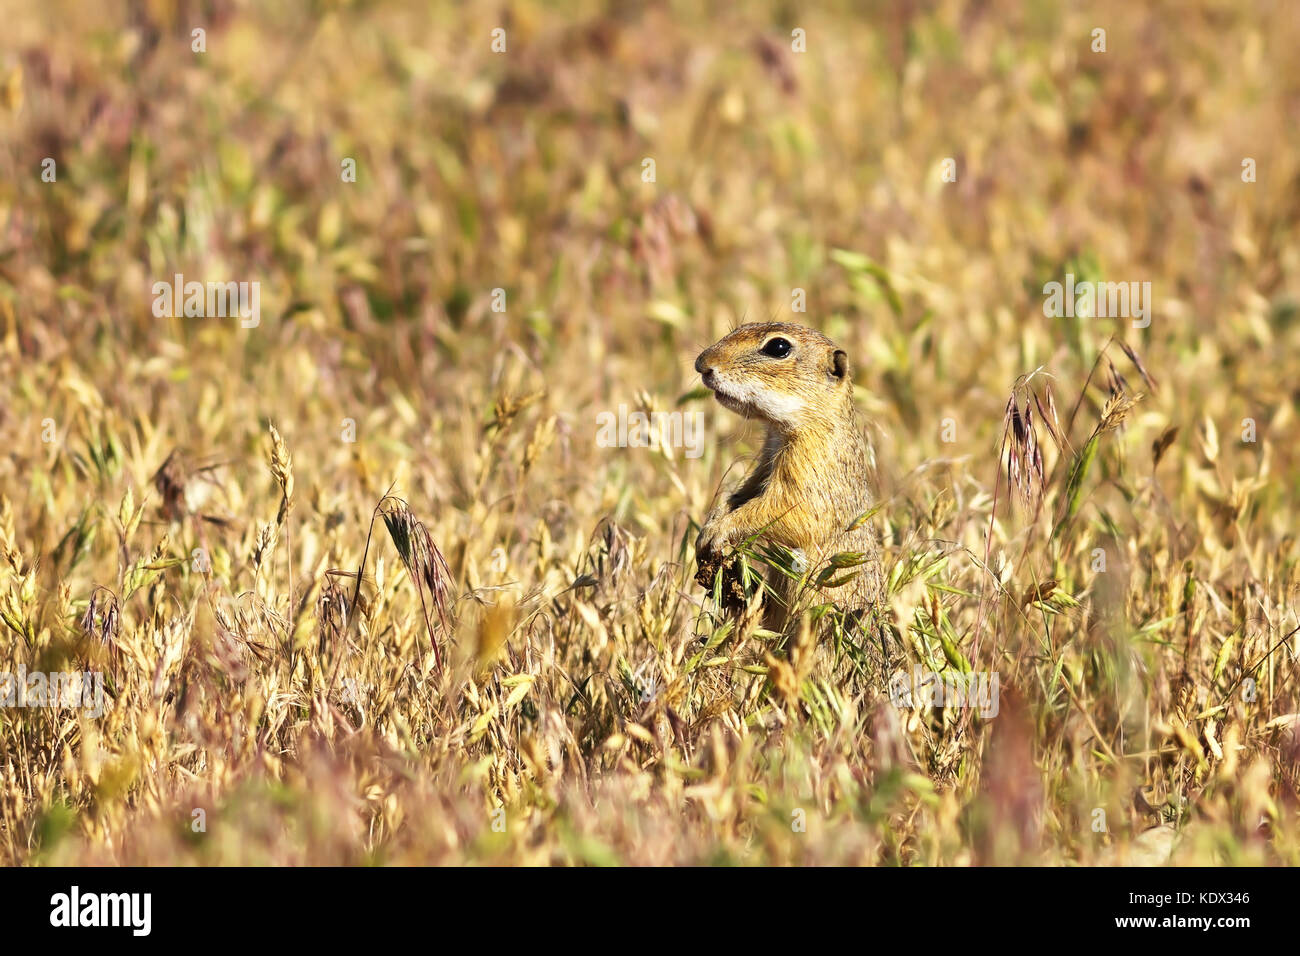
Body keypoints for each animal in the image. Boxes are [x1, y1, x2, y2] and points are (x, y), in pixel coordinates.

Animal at [693, 322, 883, 628]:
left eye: (778, 347)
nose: (701, 364)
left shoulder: (808, 474)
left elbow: (782, 512)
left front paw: (719, 531)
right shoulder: (764, 465)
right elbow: (740, 494)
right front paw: (708, 526)